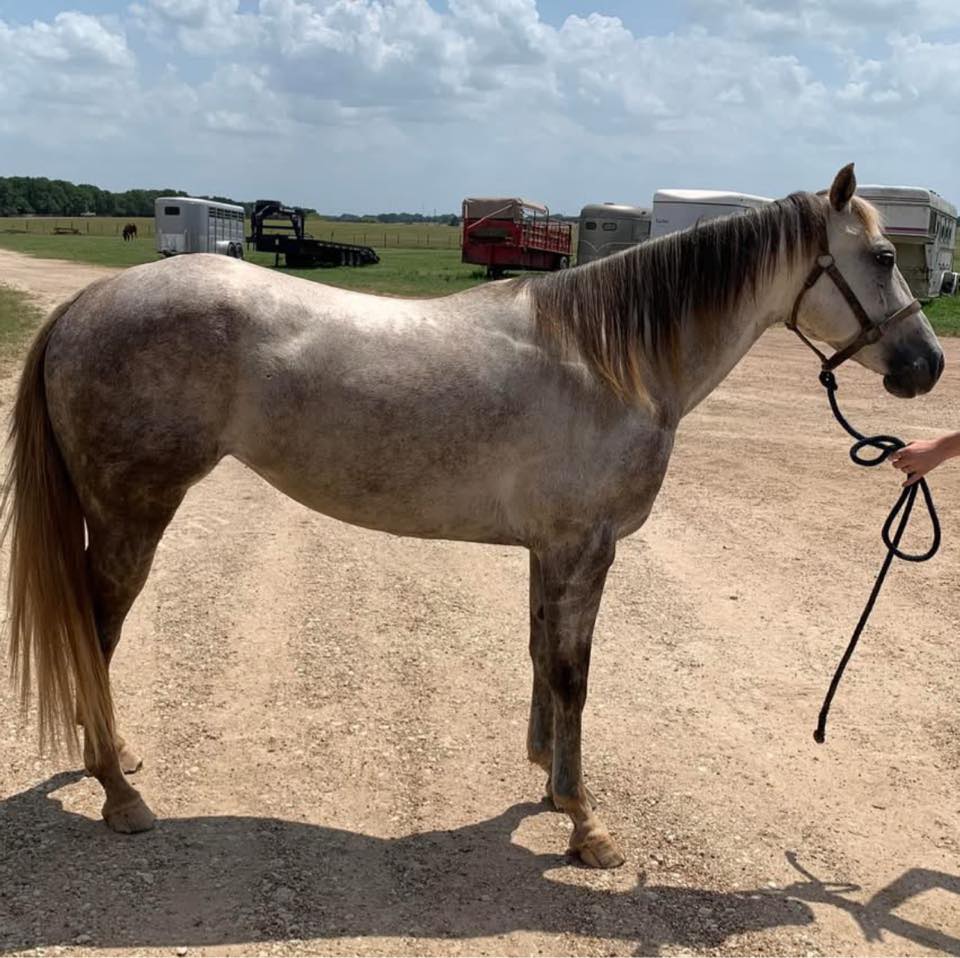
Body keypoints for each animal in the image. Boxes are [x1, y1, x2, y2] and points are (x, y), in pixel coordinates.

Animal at [2, 164, 943, 869]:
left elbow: (540, 656)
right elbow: (574, 674)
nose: (927, 365)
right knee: (95, 632)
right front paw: (585, 823)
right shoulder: (585, 549)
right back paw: (120, 793)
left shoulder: (549, 551)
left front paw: (547, 780)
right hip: (131, 517)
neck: (613, 360)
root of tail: (84, 307)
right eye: (884, 254)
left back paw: (117, 760)